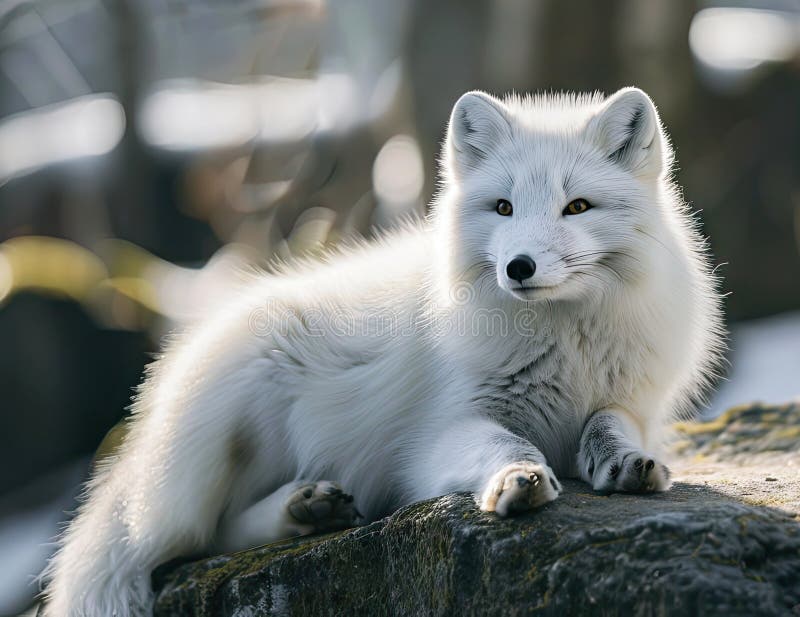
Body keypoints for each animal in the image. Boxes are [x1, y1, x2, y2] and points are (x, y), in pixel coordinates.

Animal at [42, 87, 723, 616]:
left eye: (577, 206)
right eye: (503, 207)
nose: (519, 267)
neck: (564, 343)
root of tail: (145, 439)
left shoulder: (633, 404)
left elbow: (609, 428)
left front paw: (628, 463)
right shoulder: (439, 433)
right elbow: (506, 444)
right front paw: (520, 479)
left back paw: (311, 508)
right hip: (232, 422)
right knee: (202, 538)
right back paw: (302, 510)